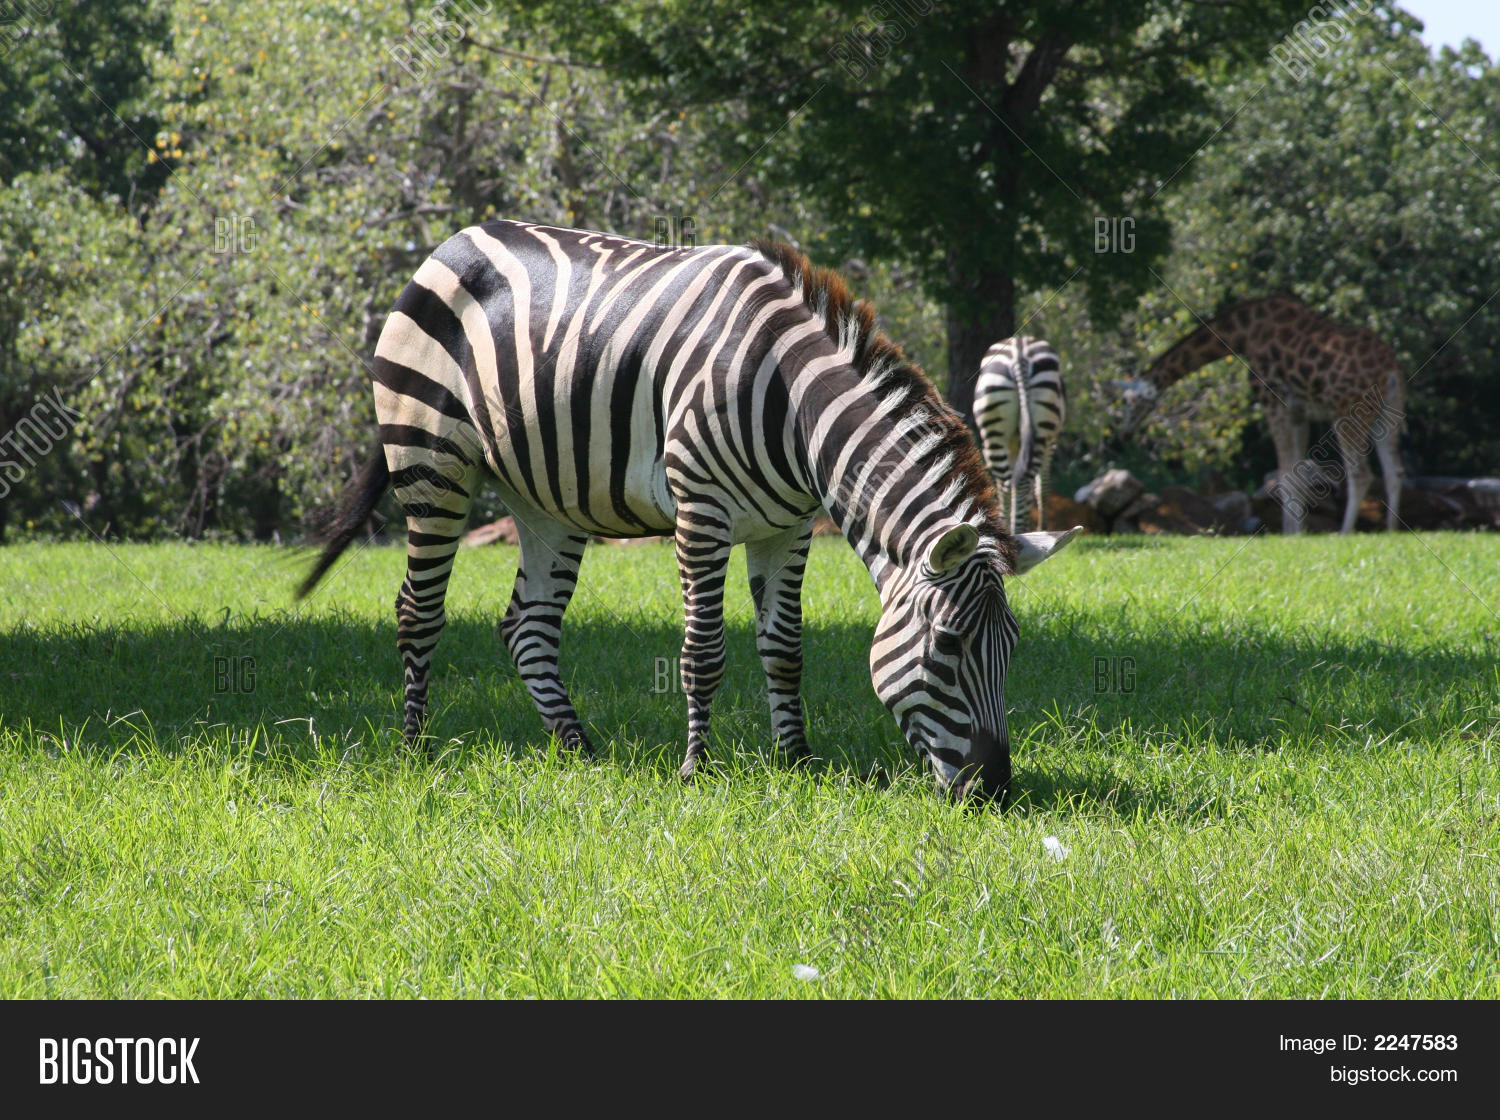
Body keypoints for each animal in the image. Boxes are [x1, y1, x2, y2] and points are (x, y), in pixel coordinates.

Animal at [973, 336, 1067, 534]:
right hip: (1040, 430)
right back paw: (1018, 530)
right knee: (1019, 483)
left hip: (994, 427)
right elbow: (1042, 488)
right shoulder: (1050, 443)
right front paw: (1040, 528)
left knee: (1008, 483)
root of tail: (1019, 351)